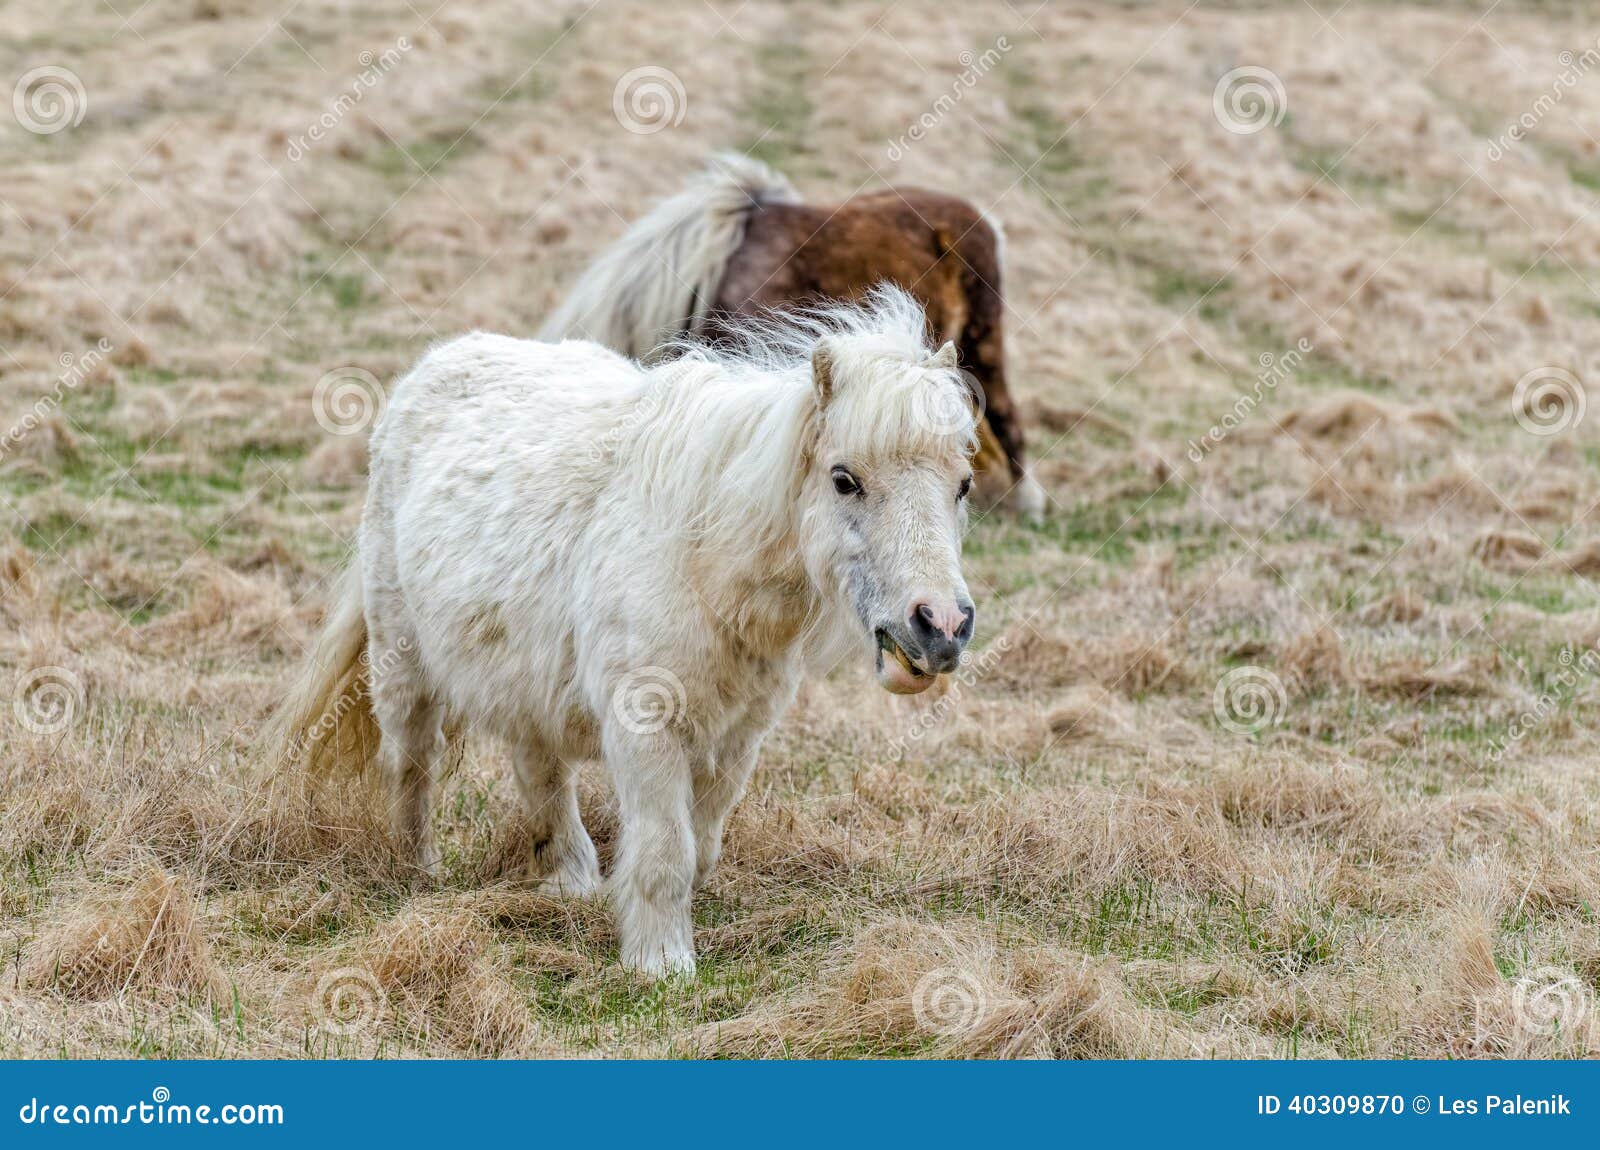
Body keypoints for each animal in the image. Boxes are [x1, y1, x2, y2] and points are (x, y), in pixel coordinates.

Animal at [277, 287, 979, 976]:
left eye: (963, 484)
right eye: (844, 480)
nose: (940, 626)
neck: (703, 554)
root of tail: (436, 364)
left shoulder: (739, 735)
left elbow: (701, 842)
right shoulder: (646, 723)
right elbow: (666, 849)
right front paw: (660, 965)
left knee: (539, 771)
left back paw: (566, 878)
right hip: (403, 666)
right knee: (410, 765)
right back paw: (417, 872)